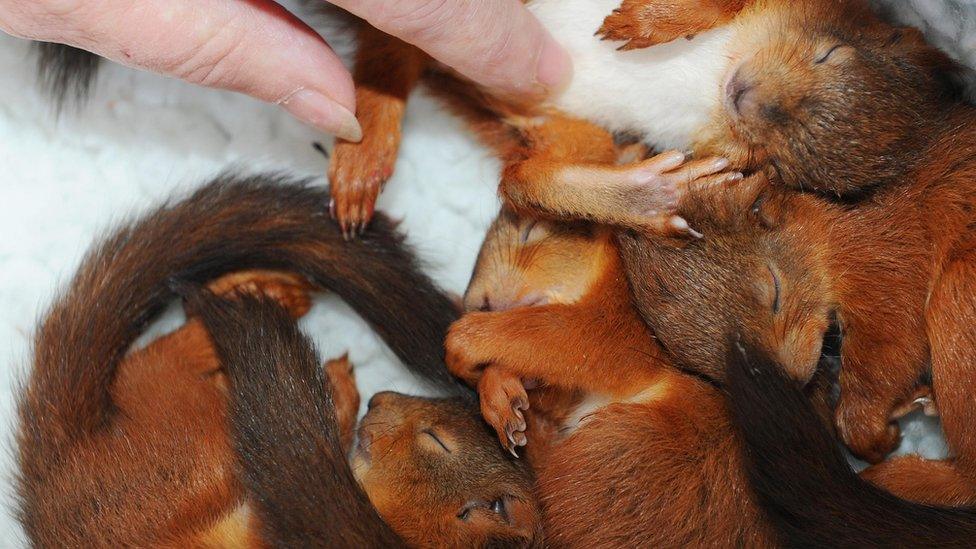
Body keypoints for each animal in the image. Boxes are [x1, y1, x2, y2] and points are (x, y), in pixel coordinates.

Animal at [16, 173, 542, 546]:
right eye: (448, 409)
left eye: (436, 441)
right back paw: (262, 294)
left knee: (164, 364)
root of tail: (61, 468)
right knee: (155, 357)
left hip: (190, 459)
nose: (379, 400)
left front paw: (338, 391)